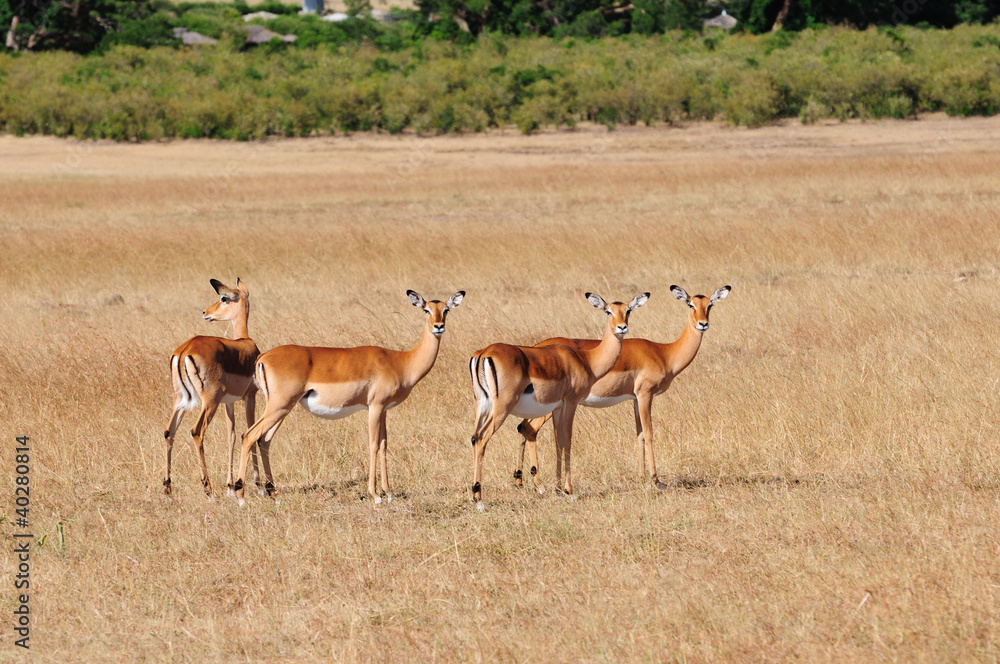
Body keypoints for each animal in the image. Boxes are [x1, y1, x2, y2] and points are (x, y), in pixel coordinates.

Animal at [163, 278, 263, 498]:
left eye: (224, 298)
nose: (205, 313)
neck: (246, 344)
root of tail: (185, 350)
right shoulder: (250, 397)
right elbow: (250, 432)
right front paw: (259, 486)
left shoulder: (229, 402)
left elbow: (231, 435)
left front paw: (231, 486)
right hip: (209, 401)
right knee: (196, 431)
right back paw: (208, 490)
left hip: (180, 400)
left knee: (169, 431)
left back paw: (167, 487)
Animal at [232, 290, 465, 506]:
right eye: (426, 309)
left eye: (446, 309)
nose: (438, 326)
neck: (401, 362)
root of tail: (263, 357)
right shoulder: (375, 407)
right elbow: (373, 444)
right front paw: (375, 495)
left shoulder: (384, 410)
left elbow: (384, 444)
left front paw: (388, 493)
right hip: (279, 406)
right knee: (249, 436)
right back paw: (241, 497)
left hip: (281, 409)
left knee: (264, 440)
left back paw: (274, 495)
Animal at [468, 292, 648, 509]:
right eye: (608, 311)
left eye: (627, 310)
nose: (622, 327)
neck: (585, 360)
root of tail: (483, 353)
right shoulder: (571, 403)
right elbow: (568, 440)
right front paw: (569, 490)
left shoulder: (557, 408)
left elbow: (558, 442)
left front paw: (558, 489)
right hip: (501, 408)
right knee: (481, 438)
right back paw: (479, 499)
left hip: (482, 406)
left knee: (474, 437)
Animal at [514, 285, 730, 491]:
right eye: (690, 304)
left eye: (710, 305)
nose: (703, 324)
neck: (664, 353)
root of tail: (534, 349)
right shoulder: (645, 395)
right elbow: (649, 434)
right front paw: (656, 480)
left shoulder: (634, 399)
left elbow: (639, 435)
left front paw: (642, 480)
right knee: (529, 429)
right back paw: (539, 484)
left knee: (523, 427)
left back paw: (520, 481)